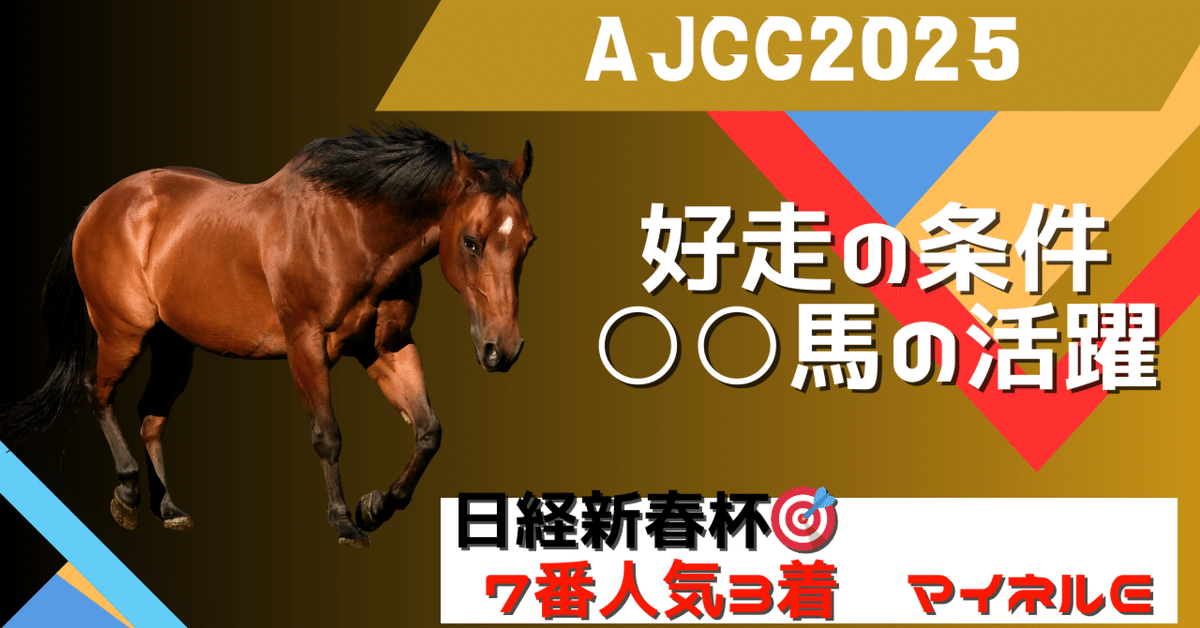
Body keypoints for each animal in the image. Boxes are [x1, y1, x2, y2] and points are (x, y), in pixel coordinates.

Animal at [0, 122, 535, 547]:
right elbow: (327, 435)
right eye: (471, 241)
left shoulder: (388, 348)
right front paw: (344, 523)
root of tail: (97, 206)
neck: (354, 230)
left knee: (151, 414)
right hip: (122, 334)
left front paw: (376, 506)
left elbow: (427, 432)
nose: (502, 349)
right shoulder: (306, 345)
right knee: (96, 392)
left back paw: (169, 510)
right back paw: (127, 494)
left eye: (528, 242)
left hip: (174, 344)